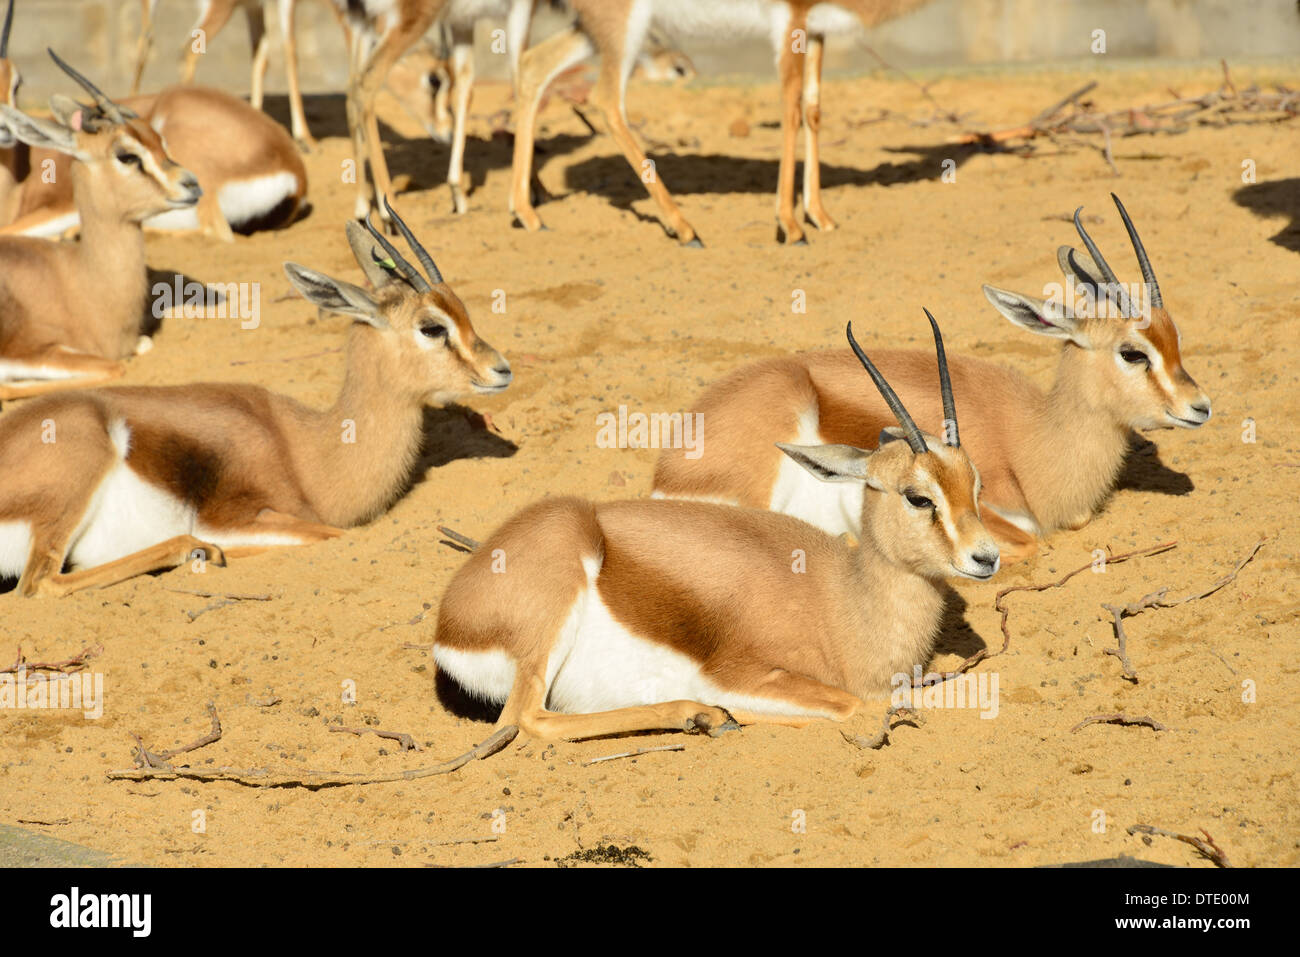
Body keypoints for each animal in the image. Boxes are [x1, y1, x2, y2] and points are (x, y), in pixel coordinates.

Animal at [0, 52, 201, 402]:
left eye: (159, 140)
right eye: (126, 156)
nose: (192, 185)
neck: (80, 284)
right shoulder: (28, 349)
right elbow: (113, 368)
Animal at [0, 203, 513, 597]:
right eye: (432, 327)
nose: (502, 369)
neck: (305, 454)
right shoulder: (235, 518)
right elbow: (328, 533)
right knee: (41, 583)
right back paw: (194, 550)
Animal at [433, 318, 999, 742]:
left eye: (975, 484)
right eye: (918, 496)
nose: (986, 557)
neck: (841, 603)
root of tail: (451, 621)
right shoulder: (745, 675)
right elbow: (850, 705)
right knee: (526, 719)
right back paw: (698, 713)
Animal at [509, 0, 932, 245]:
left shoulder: (817, 27)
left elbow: (813, 107)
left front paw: (819, 216)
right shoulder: (790, 18)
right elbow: (790, 108)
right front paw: (790, 225)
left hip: (598, 28)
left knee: (533, 64)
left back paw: (527, 213)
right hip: (624, 24)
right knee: (607, 99)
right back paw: (684, 228)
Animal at [653, 196, 1212, 563]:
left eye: (1175, 338)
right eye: (1132, 352)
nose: (1200, 406)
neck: (1032, 438)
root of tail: (670, 467)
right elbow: (1030, 543)